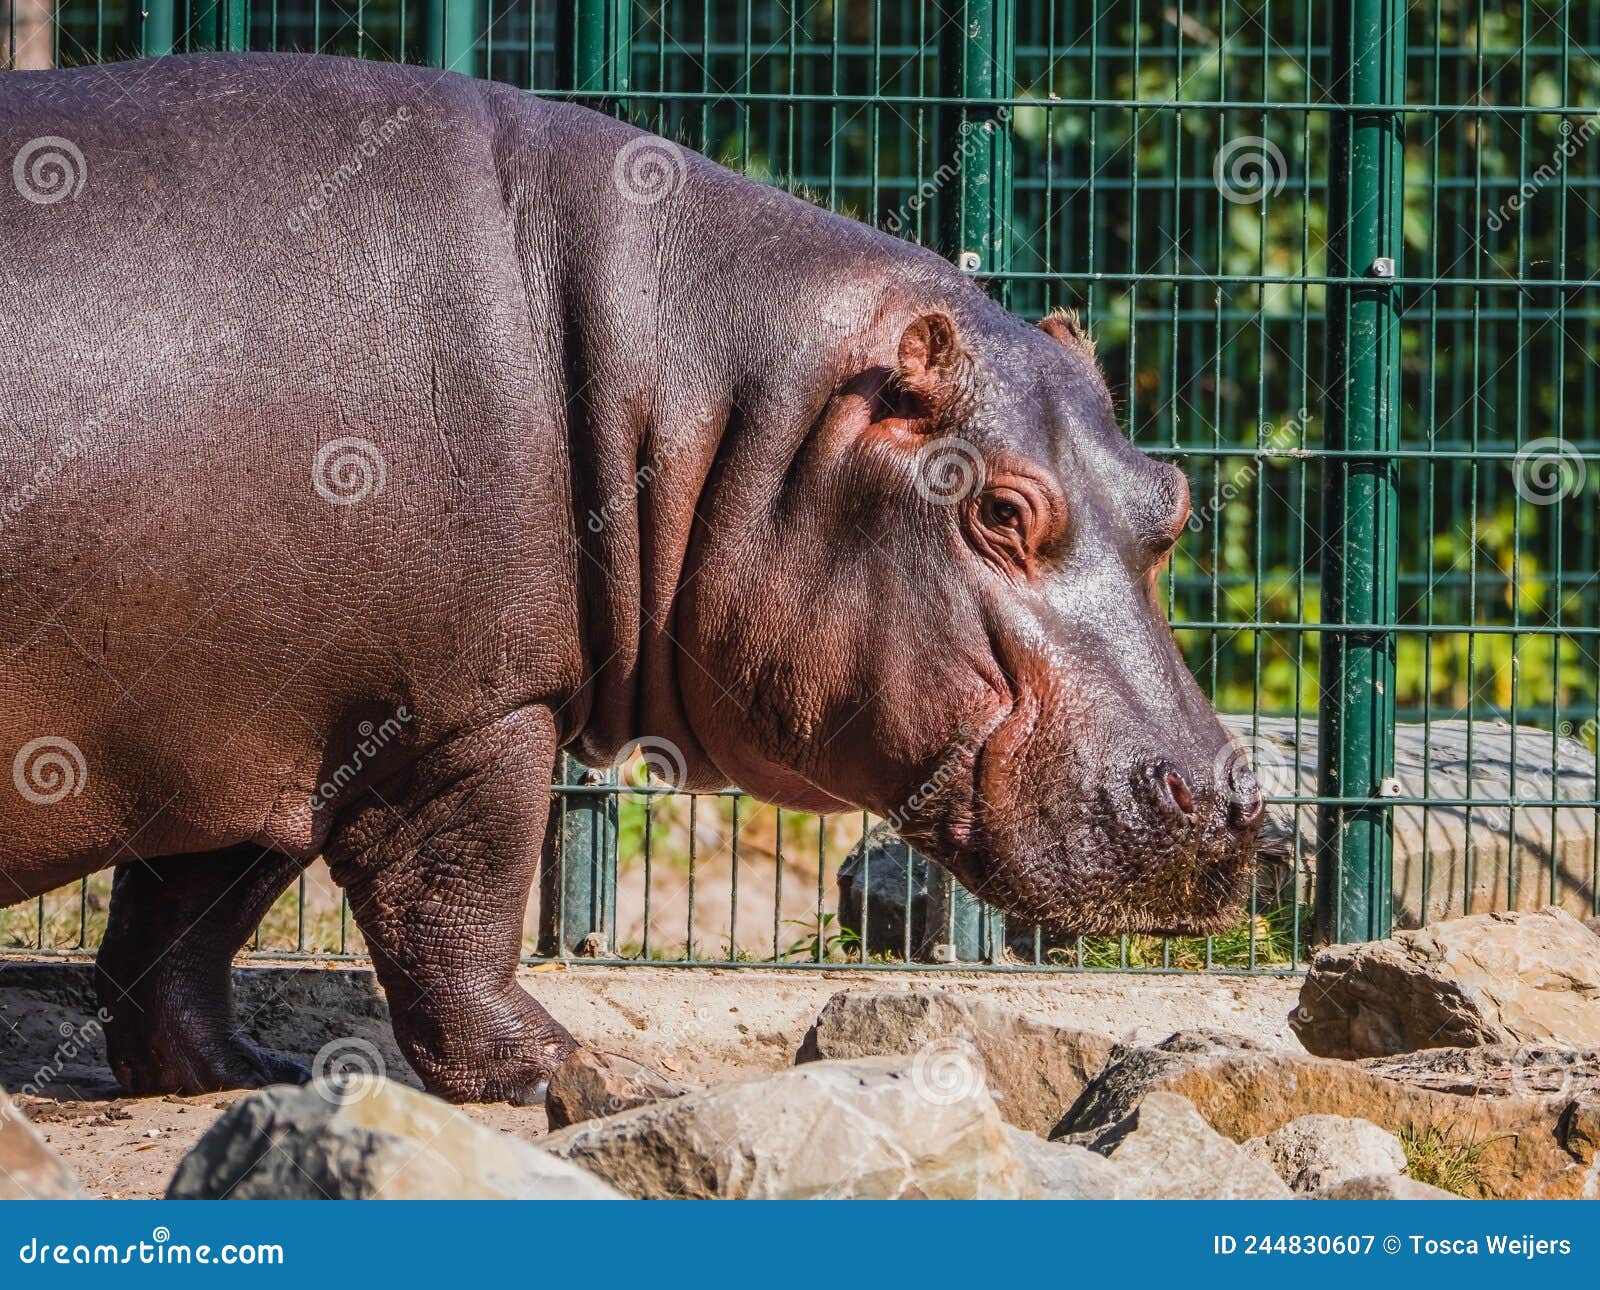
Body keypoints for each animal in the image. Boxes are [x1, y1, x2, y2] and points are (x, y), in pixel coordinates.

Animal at [0, 53, 1262, 1103]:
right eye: (1000, 510)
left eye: (1168, 501)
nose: (1227, 800)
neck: (713, 399)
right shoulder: (457, 710)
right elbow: (452, 912)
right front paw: (587, 1080)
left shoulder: (266, 722)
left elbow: (179, 928)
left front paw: (237, 1076)